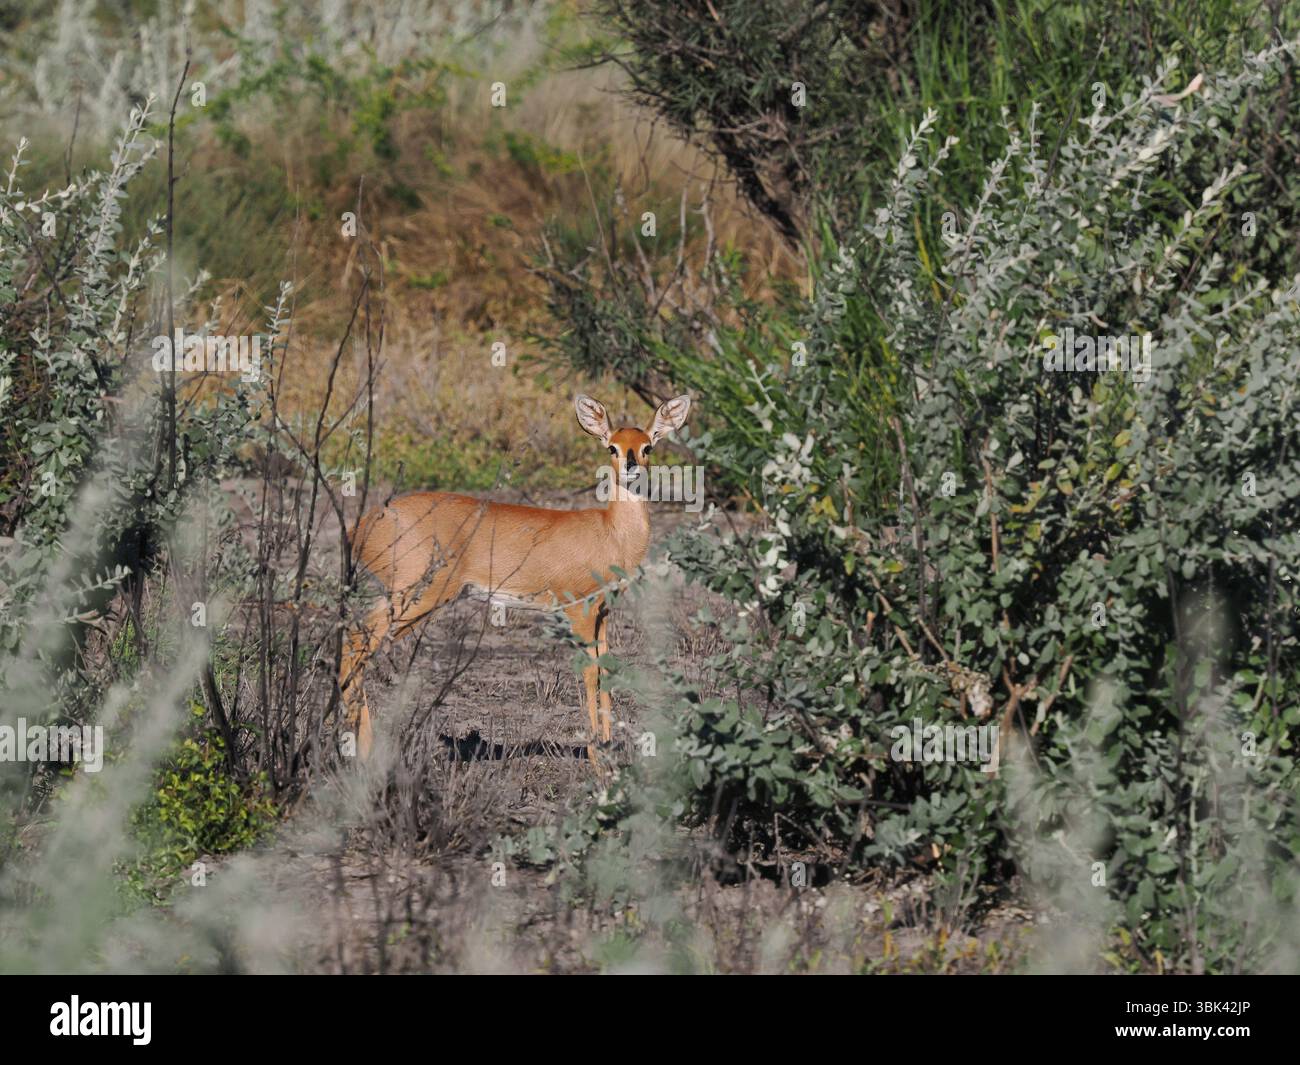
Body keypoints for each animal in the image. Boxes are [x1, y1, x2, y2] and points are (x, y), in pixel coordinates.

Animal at [339, 393, 693, 762]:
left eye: (647, 445)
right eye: (612, 446)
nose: (631, 466)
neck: (611, 533)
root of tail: (361, 525)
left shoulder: (603, 612)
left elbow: (607, 669)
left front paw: (609, 750)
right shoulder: (578, 610)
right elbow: (590, 673)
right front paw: (597, 758)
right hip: (417, 597)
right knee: (357, 640)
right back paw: (363, 753)